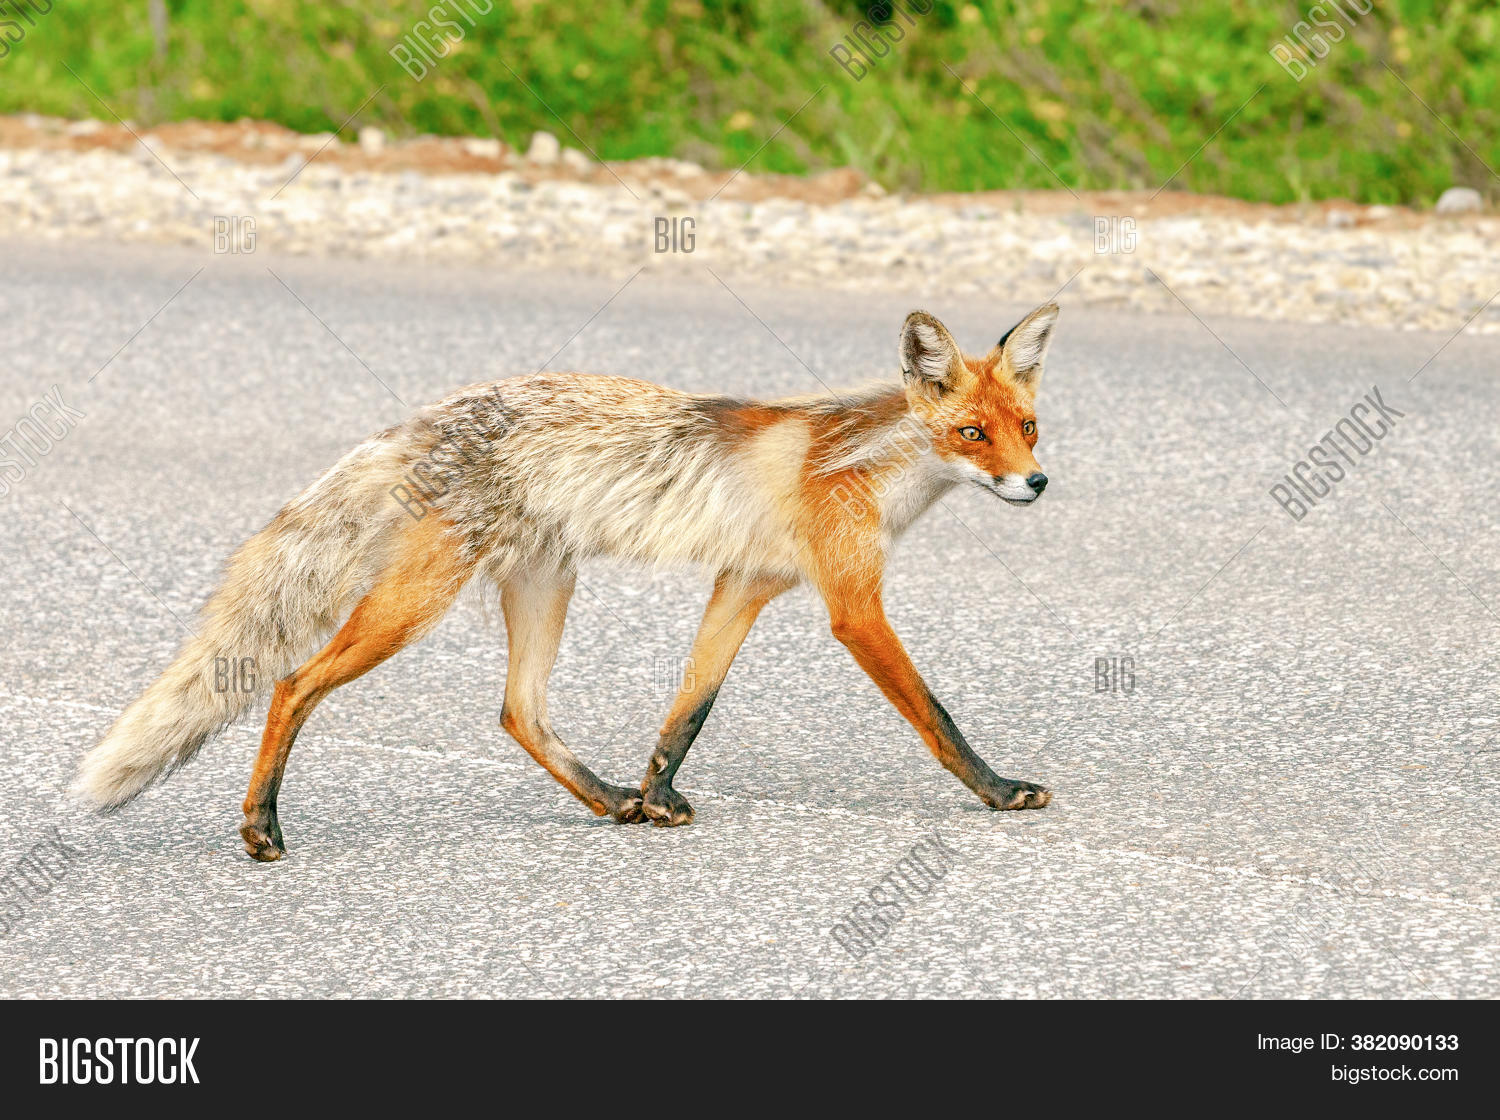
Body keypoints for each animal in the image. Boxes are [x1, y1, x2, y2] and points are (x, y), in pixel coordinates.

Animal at [72, 303, 1060, 861]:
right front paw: (999, 792)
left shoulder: (744, 585)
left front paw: (655, 794)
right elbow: (936, 717)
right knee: (290, 682)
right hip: (413, 605)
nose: (1037, 484)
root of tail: (427, 416)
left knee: (519, 712)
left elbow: (686, 712)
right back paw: (262, 829)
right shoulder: (853, 606)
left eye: (1028, 427)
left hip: (545, 587)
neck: (865, 463)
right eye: (972, 434)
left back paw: (611, 800)